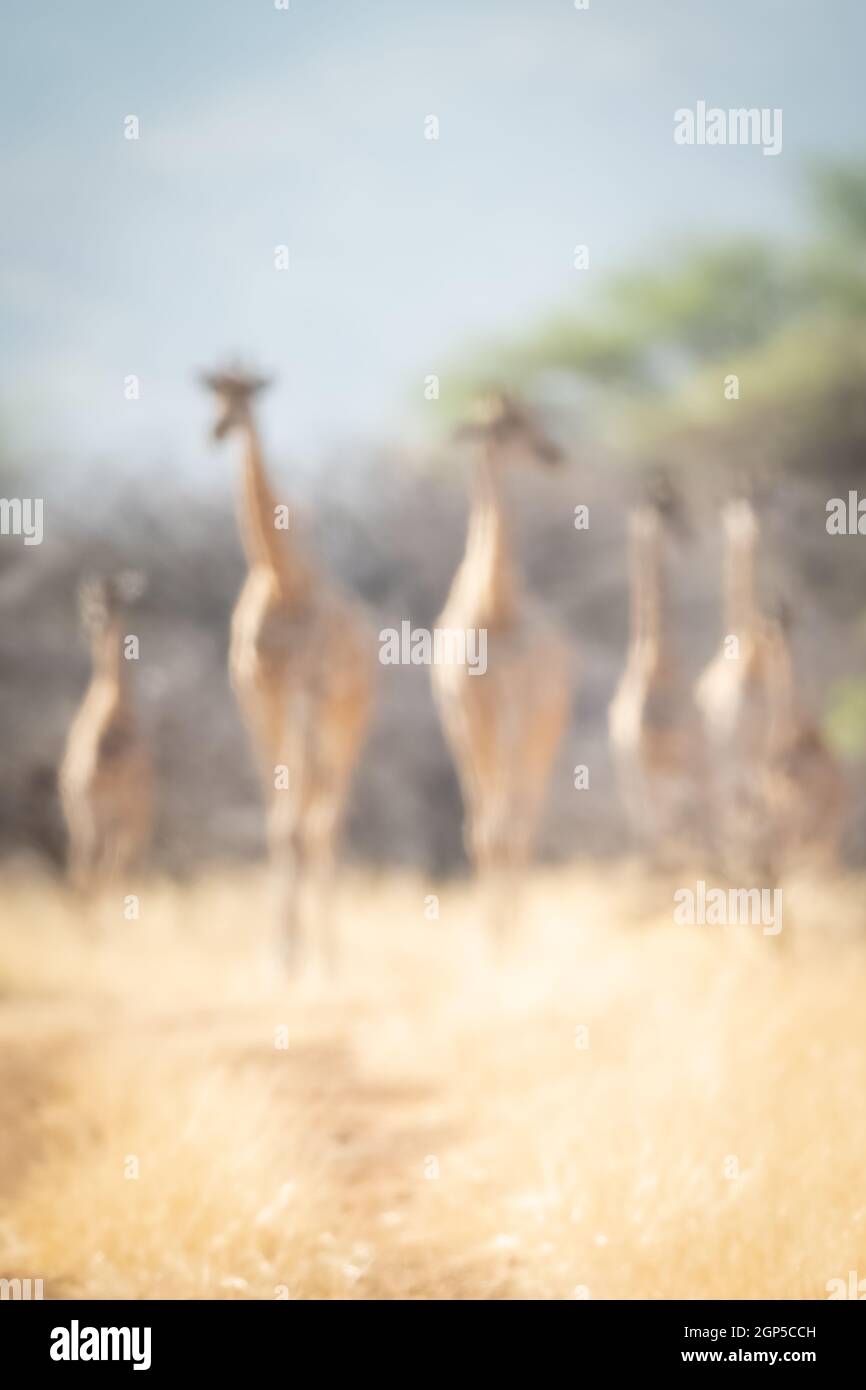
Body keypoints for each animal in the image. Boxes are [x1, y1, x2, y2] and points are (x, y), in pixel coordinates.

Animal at [59, 573, 152, 894]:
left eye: (109, 599)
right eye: (90, 601)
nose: (89, 626)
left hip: (89, 822)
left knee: (84, 868)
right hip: (111, 822)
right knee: (101, 869)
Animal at [201, 367, 373, 971]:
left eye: (248, 394)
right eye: (215, 393)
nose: (217, 430)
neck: (281, 577)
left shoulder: (303, 694)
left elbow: (297, 823)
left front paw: (296, 958)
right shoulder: (256, 696)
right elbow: (277, 822)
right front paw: (279, 955)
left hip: (345, 726)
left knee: (327, 821)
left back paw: (331, 954)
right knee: (310, 817)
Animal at [430, 392, 571, 936]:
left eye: (530, 419)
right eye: (504, 428)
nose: (554, 454)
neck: (496, 608)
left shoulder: (518, 711)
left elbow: (505, 828)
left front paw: (505, 936)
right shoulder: (465, 715)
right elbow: (481, 832)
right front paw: (491, 935)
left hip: (540, 735)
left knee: (524, 821)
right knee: (497, 824)